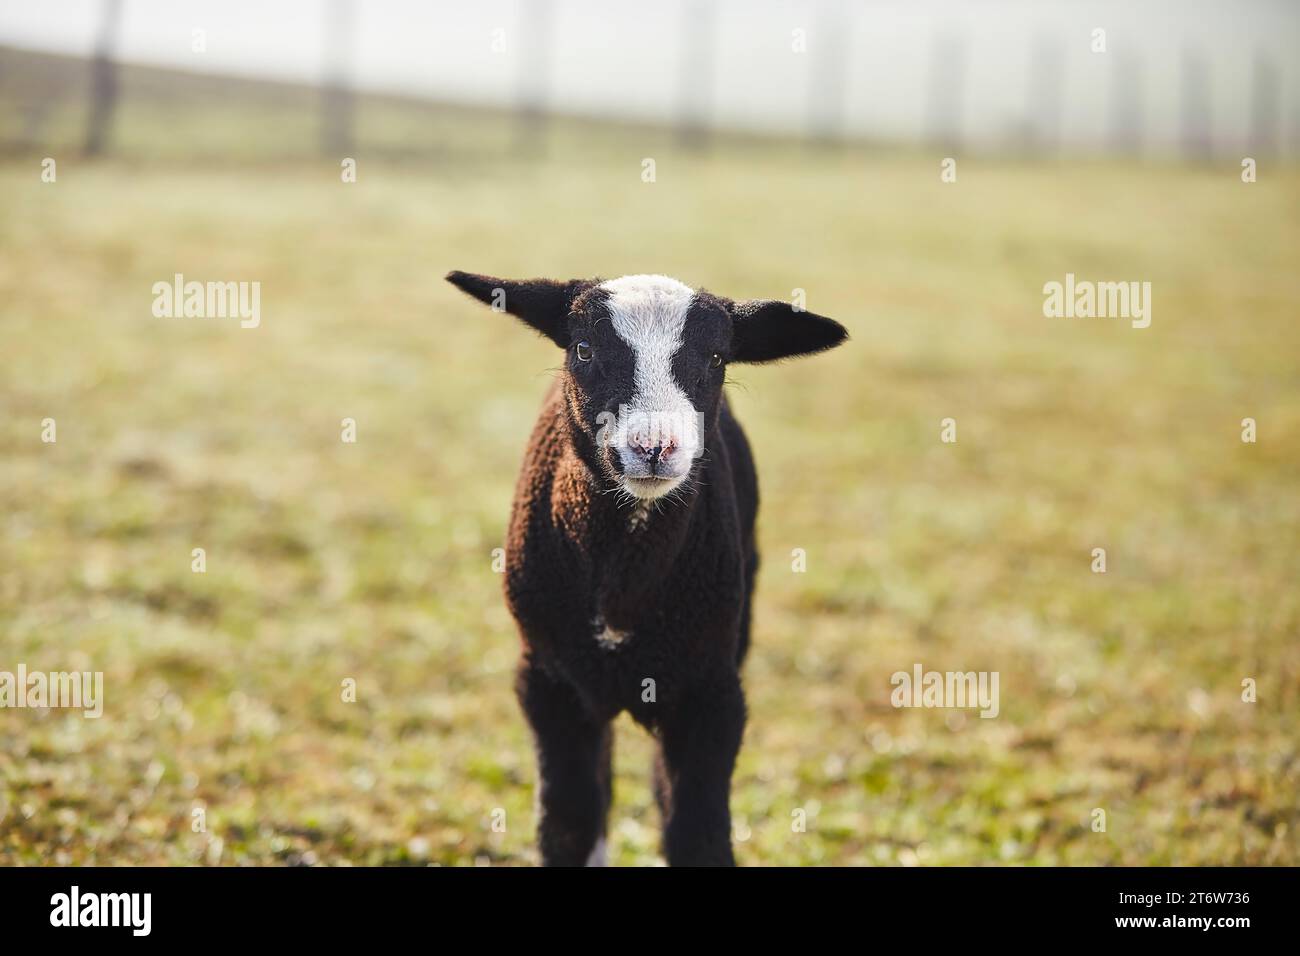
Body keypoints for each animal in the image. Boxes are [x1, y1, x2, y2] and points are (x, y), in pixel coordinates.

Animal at [447, 270, 848, 866]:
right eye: (583, 349)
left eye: (717, 357)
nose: (655, 447)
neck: (623, 582)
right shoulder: (548, 682)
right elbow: (568, 824)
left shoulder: (712, 692)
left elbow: (697, 832)